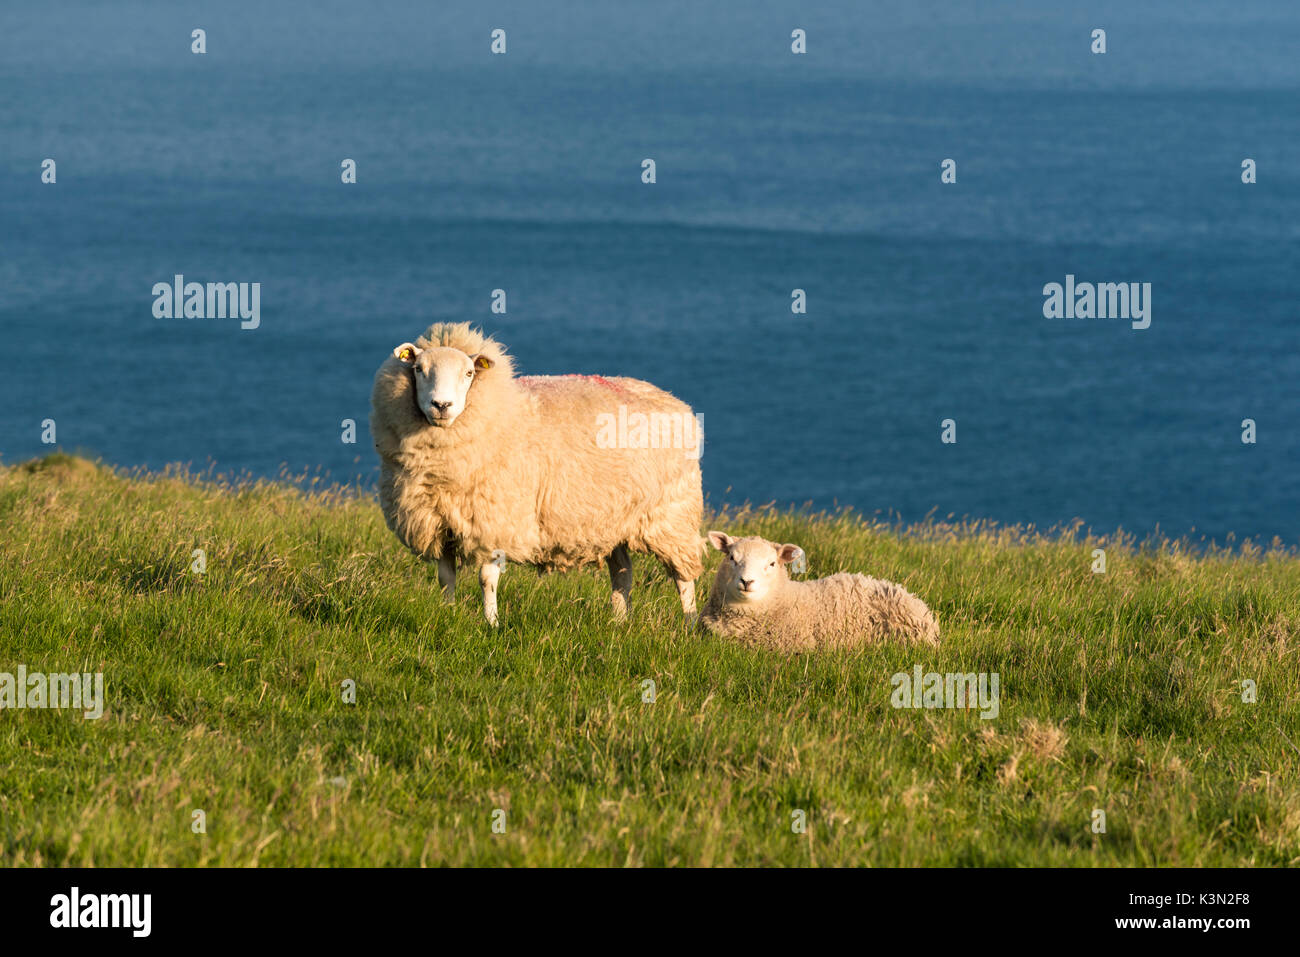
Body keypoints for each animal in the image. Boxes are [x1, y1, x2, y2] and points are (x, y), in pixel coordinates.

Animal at [369, 322, 704, 625]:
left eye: (468, 374)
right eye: (418, 369)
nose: (441, 405)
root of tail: (674, 400)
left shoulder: (495, 522)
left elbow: (486, 579)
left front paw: (492, 624)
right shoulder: (437, 522)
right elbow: (444, 577)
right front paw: (448, 614)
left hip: (671, 514)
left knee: (683, 578)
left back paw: (689, 624)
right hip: (614, 519)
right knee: (622, 572)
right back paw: (620, 621)